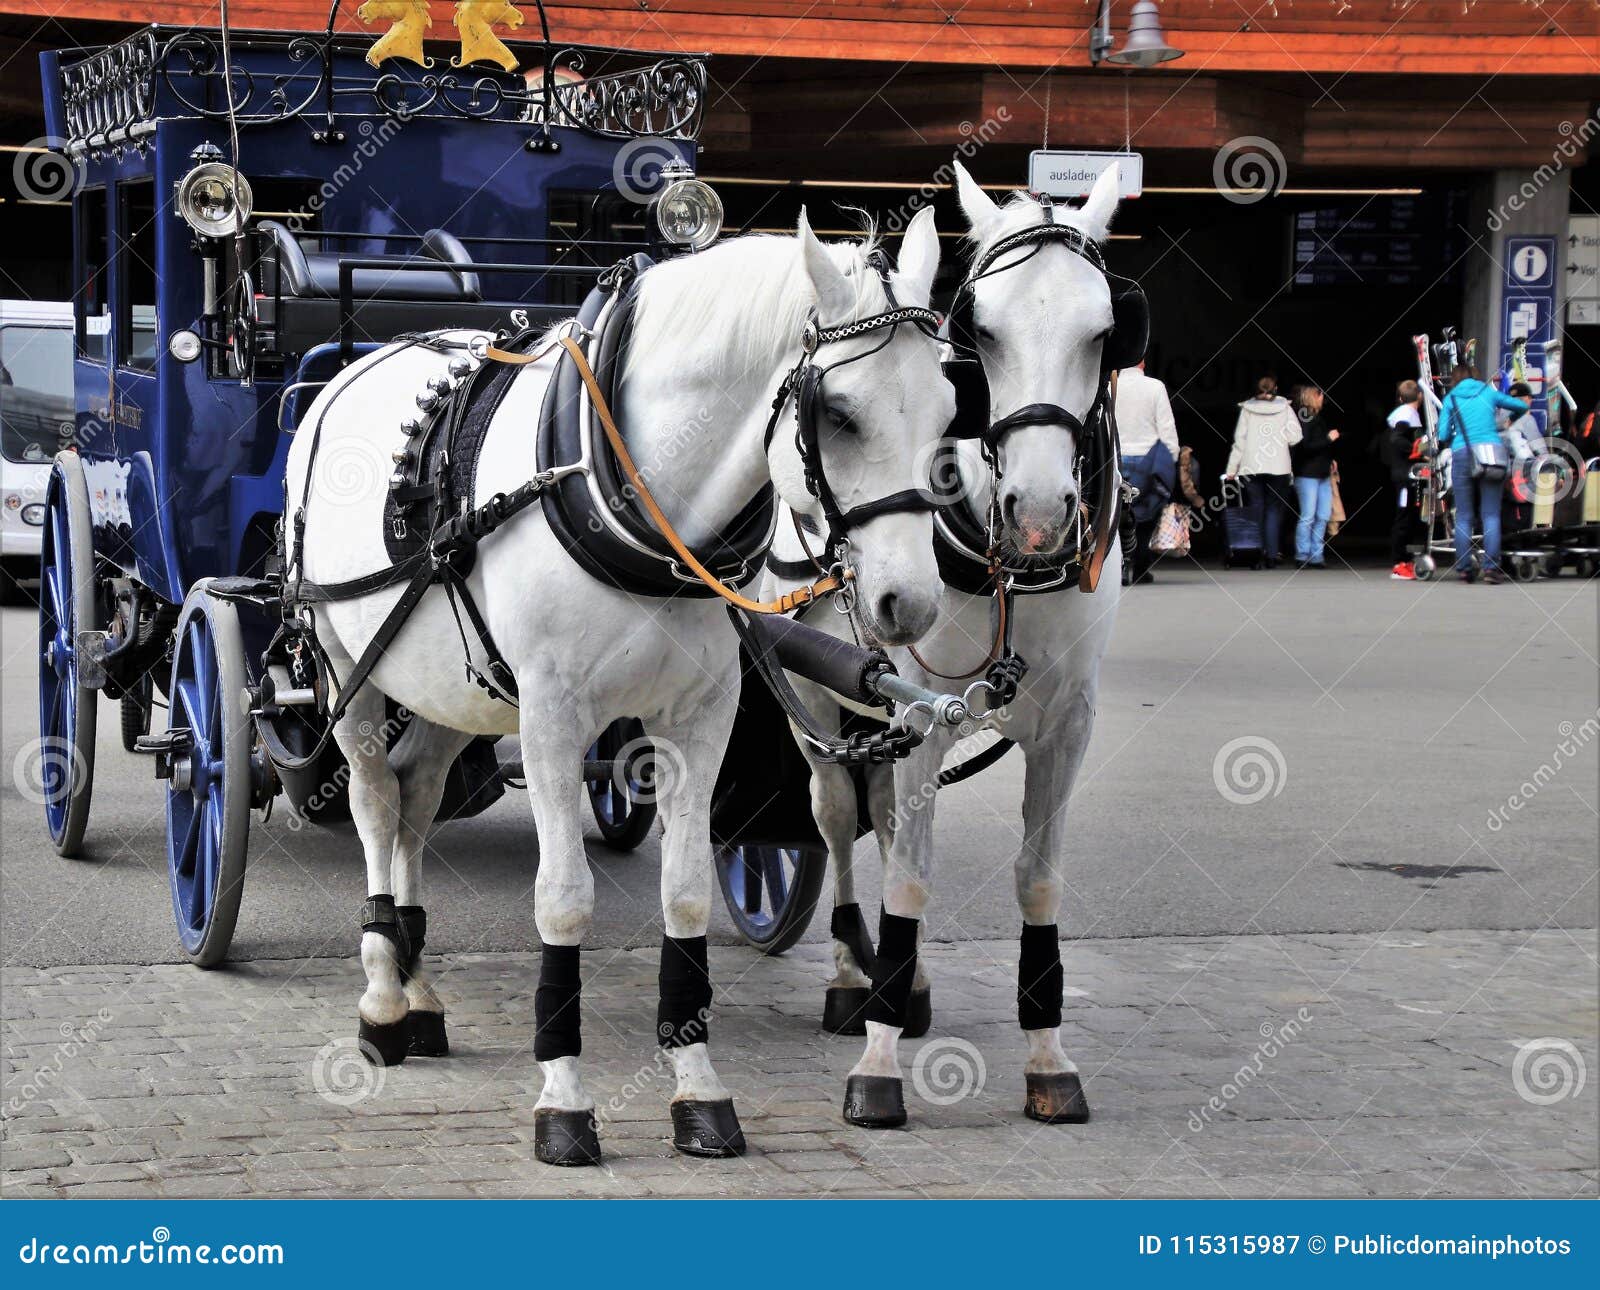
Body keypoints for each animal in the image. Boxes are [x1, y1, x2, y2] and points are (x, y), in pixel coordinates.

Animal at [284, 207, 953, 1166]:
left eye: (949, 409)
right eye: (839, 413)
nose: (912, 604)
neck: (630, 492)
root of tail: (346, 371)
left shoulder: (700, 718)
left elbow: (686, 891)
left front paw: (698, 1089)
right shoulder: (553, 719)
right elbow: (564, 901)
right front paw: (563, 1099)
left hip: (452, 689)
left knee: (414, 803)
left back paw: (418, 990)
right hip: (352, 665)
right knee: (376, 805)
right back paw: (382, 998)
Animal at [766, 163, 1129, 1130]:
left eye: (1104, 332)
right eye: (982, 334)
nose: (1038, 513)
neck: (1010, 574)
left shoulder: (1069, 722)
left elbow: (1038, 878)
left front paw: (1047, 1056)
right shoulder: (923, 711)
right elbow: (908, 880)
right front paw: (879, 1064)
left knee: (885, 815)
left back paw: (907, 981)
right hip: (818, 701)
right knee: (838, 817)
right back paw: (855, 977)